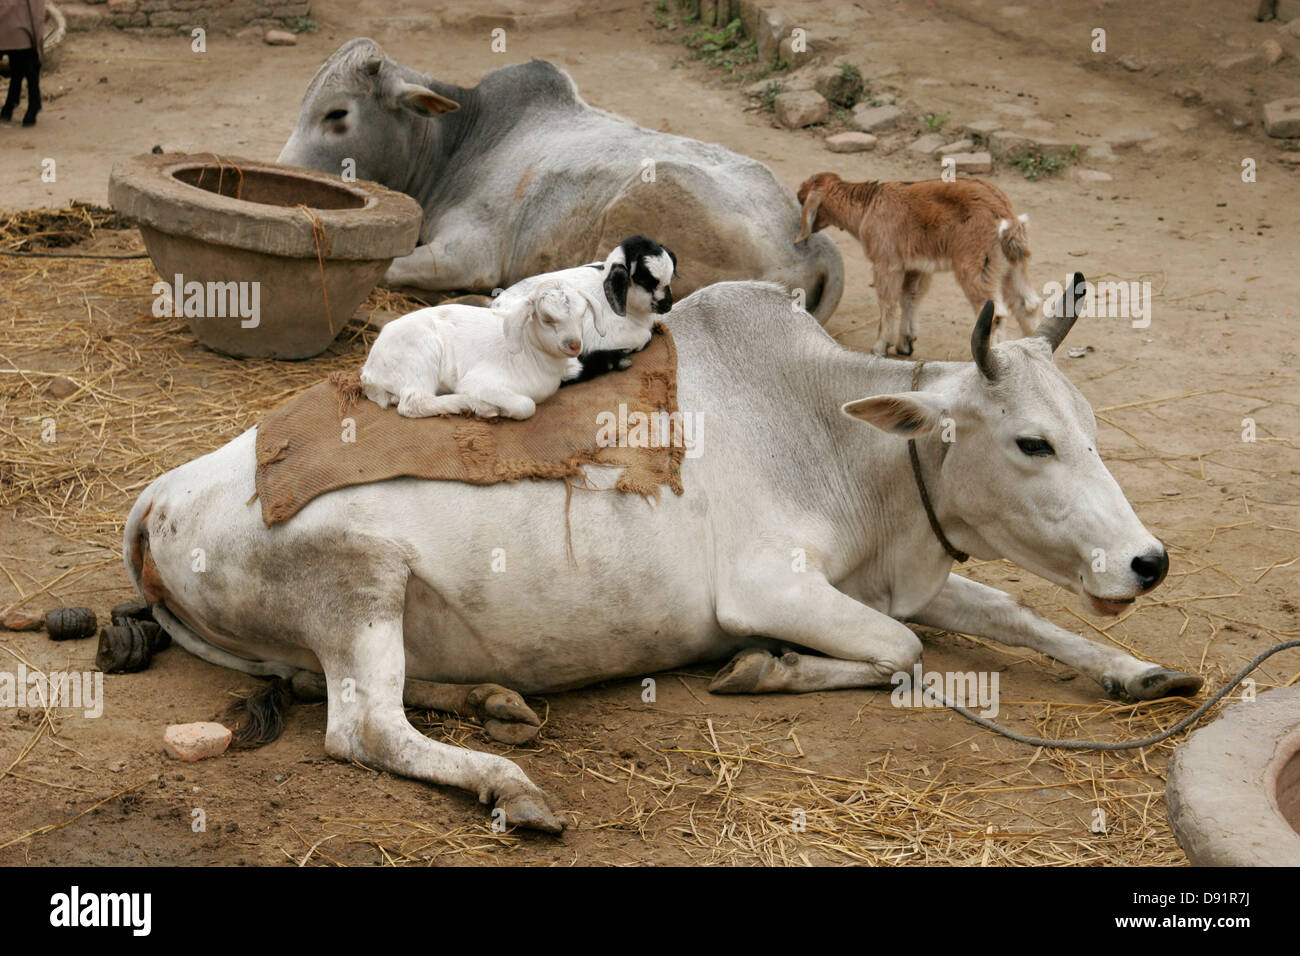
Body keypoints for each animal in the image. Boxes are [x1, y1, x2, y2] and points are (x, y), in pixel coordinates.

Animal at [123, 276, 1202, 833]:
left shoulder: (891, 578)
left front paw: (1135, 668)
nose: (1145, 562)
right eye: (1031, 442)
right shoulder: (770, 588)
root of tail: (161, 494)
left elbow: (1014, 613)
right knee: (363, 728)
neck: (835, 435)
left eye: (1089, 430)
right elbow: (902, 651)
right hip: (359, 578)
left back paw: (493, 700)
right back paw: (508, 783)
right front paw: (765, 669)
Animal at [275, 38, 844, 322]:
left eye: (337, 114)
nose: (286, 171)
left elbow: (387, 271)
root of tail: (812, 242)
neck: (460, 140)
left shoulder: (467, 254)